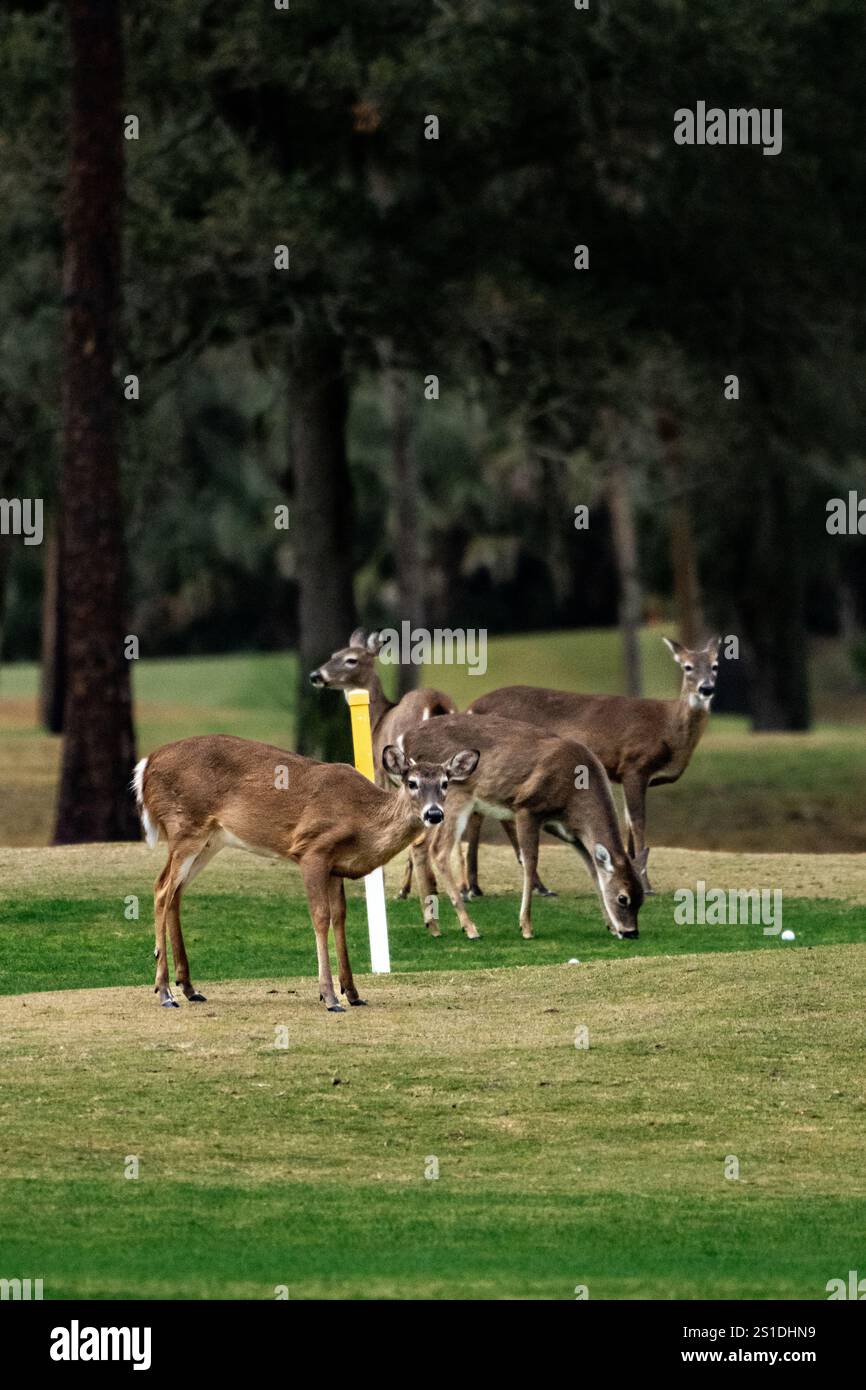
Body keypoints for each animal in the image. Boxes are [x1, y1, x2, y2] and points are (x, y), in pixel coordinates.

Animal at [131, 734, 478, 1012]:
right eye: (412, 783)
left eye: (445, 783)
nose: (434, 814)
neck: (363, 821)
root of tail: (145, 766)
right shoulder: (312, 850)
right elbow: (320, 917)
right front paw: (330, 996)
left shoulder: (336, 866)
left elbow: (340, 917)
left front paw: (353, 992)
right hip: (185, 826)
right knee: (161, 888)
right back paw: (165, 992)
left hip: (210, 840)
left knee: (175, 893)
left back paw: (189, 988)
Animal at [310, 629, 458, 897]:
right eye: (334, 654)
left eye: (351, 660)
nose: (316, 675)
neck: (377, 722)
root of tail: (435, 703)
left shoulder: (381, 771)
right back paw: (464, 887)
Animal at [398, 713, 644, 943]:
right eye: (623, 898)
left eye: (642, 897)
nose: (631, 932)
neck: (575, 794)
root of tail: (405, 738)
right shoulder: (527, 807)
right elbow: (530, 861)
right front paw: (526, 926)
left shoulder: (569, 831)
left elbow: (593, 870)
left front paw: (609, 925)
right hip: (456, 797)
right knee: (439, 850)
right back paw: (470, 928)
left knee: (420, 845)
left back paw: (433, 926)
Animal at [463, 636, 721, 898]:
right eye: (687, 667)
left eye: (715, 665)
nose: (706, 688)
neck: (669, 729)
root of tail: (473, 706)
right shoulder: (634, 764)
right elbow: (637, 821)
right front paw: (647, 885)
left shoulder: (625, 774)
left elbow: (628, 821)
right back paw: (492, 886)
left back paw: (492, 886)